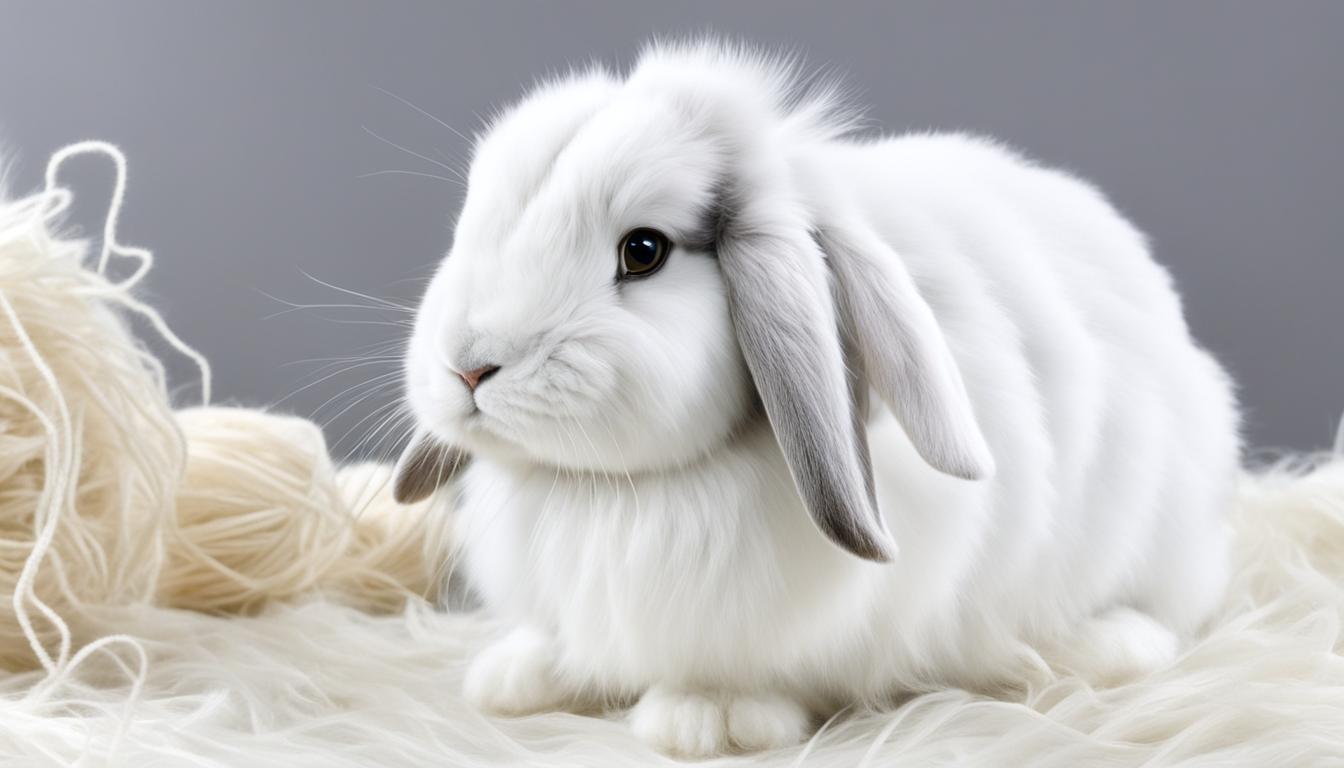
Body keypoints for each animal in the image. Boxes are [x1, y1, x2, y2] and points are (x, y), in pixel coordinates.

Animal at [393, 40, 1241, 757]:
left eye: (643, 251)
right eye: (475, 223)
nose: (467, 367)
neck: (608, 493)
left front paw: (709, 721)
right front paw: (514, 681)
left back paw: (1099, 646)